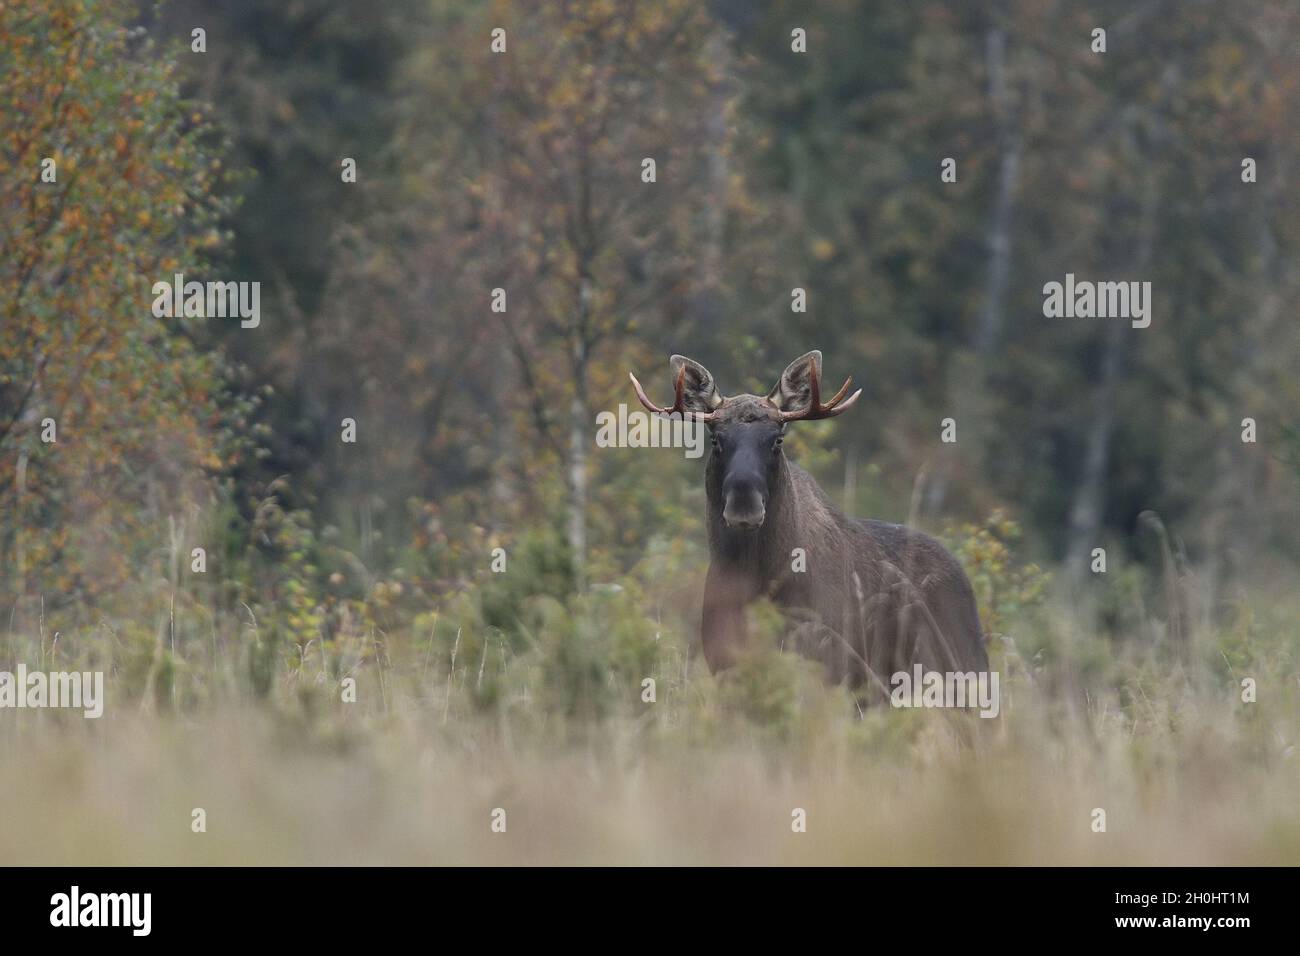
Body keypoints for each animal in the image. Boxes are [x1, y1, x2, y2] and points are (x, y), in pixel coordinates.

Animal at [629, 351, 988, 701]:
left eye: (777, 439)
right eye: (715, 439)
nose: (744, 504)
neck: (755, 580)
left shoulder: (825, 660)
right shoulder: (724, 663)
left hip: (956, 665)